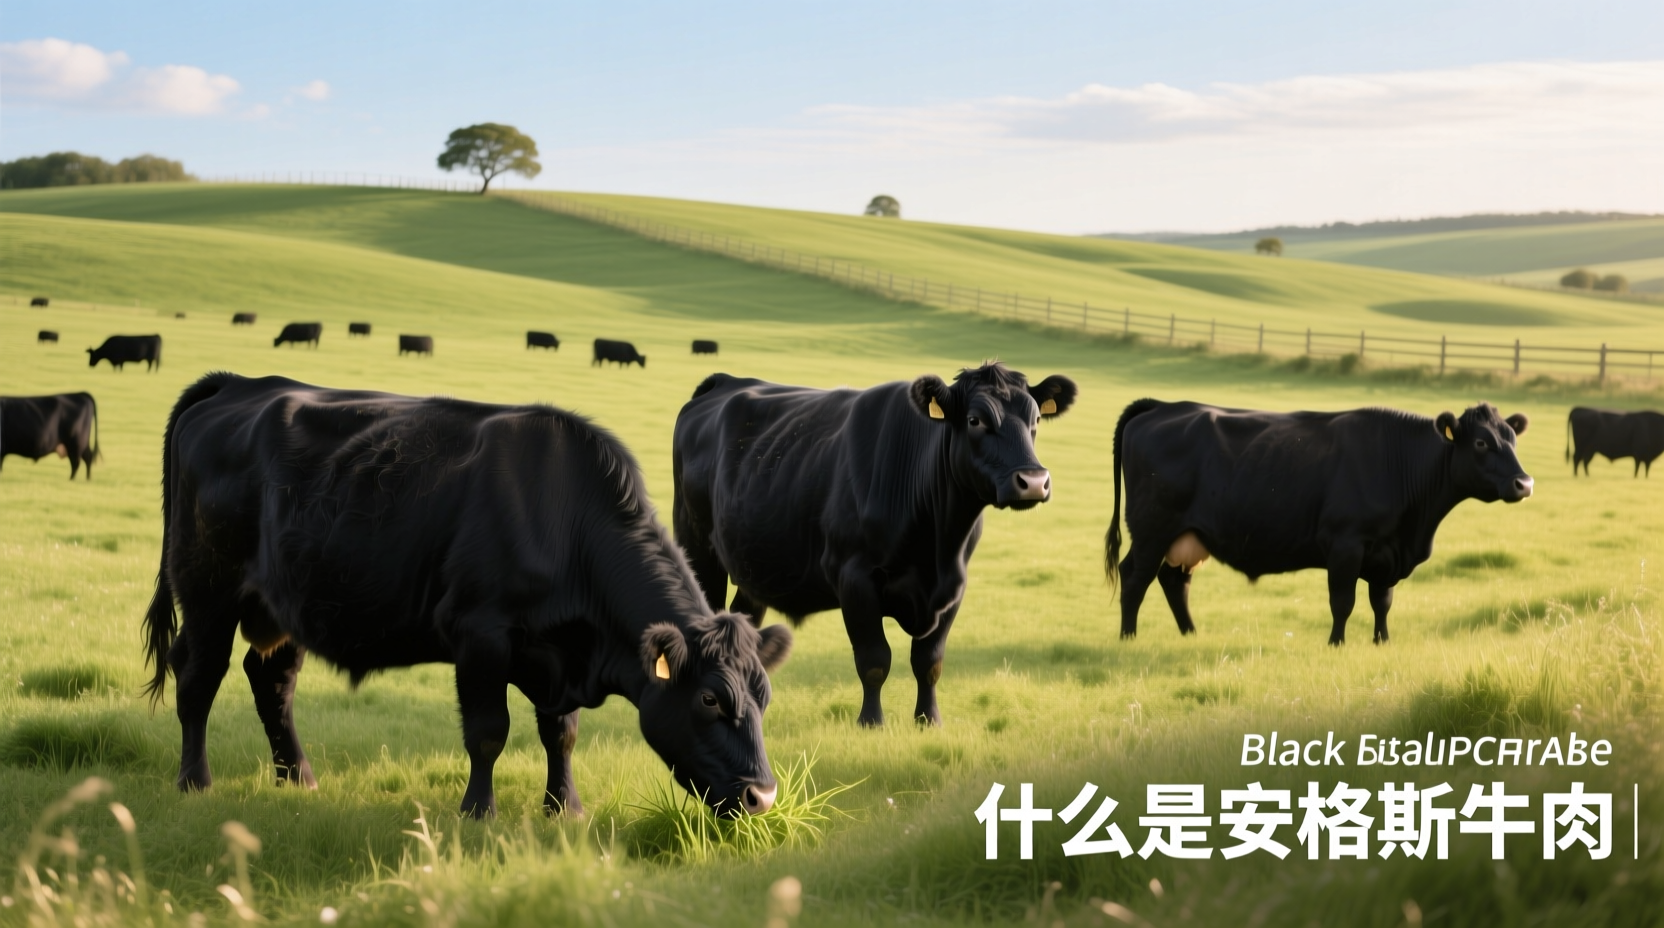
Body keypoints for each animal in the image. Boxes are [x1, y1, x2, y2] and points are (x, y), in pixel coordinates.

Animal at [142, 372, 792, 819]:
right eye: (709, 699)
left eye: (764, 696)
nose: (762, 796)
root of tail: (240, 385)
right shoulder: (481, 633)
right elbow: (488, 730)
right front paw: (478, 812)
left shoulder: (560, 650)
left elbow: (561, 734)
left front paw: (566, 809)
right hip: (207, 591)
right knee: (198, 678)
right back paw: (194, 781)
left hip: (281, 605)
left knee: (271, 683)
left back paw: (298, 778)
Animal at [673, 362, 1077, 727]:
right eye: (976, 420)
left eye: (1035, 419)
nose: (1033, 481)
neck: (937, 547)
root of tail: (725, 381)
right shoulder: (855, 579)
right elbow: (874, 660)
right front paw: (871, 722)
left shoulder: (954, 588)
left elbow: (929, 661)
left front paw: (928, 719)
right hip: (697, 546)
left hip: (752, 564)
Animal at [1106, 400, 1533, 646]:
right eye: (1481, 443)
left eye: (1512, 439)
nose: (1524, 483)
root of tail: (1163, 406)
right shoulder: (1346, 544)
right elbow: (1342, 601)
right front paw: (1336, 643)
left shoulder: (1386, 552)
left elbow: (1382, 602)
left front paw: (1382, 641)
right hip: (1151, 529)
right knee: (1135, 578)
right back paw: (1128, 638)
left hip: (1187, 534)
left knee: (1173, 580)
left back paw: (1191, 636)